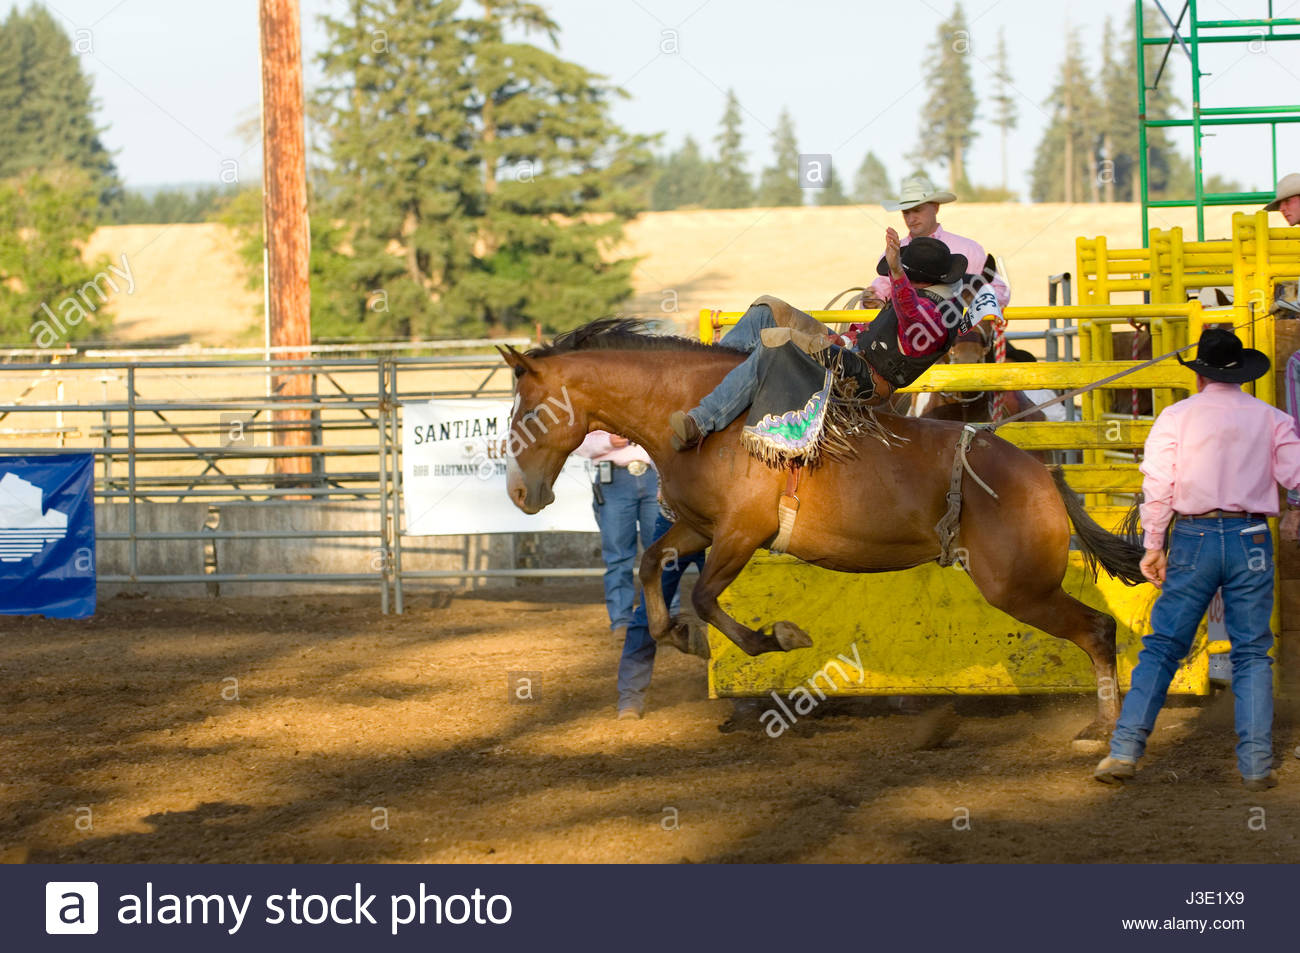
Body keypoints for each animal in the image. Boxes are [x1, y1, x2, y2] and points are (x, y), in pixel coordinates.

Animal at [498, 319, 1145, 742]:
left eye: (526, 411)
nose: (519, 494)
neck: (700, 415)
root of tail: (1041, 474)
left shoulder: (742, 532)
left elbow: (705, 596)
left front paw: (778, 636)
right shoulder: (701, 527)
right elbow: (651, 563)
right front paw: (680, 636)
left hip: (1020, 587)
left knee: (1097, 629)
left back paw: (1102, 727)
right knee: (1097, 630)